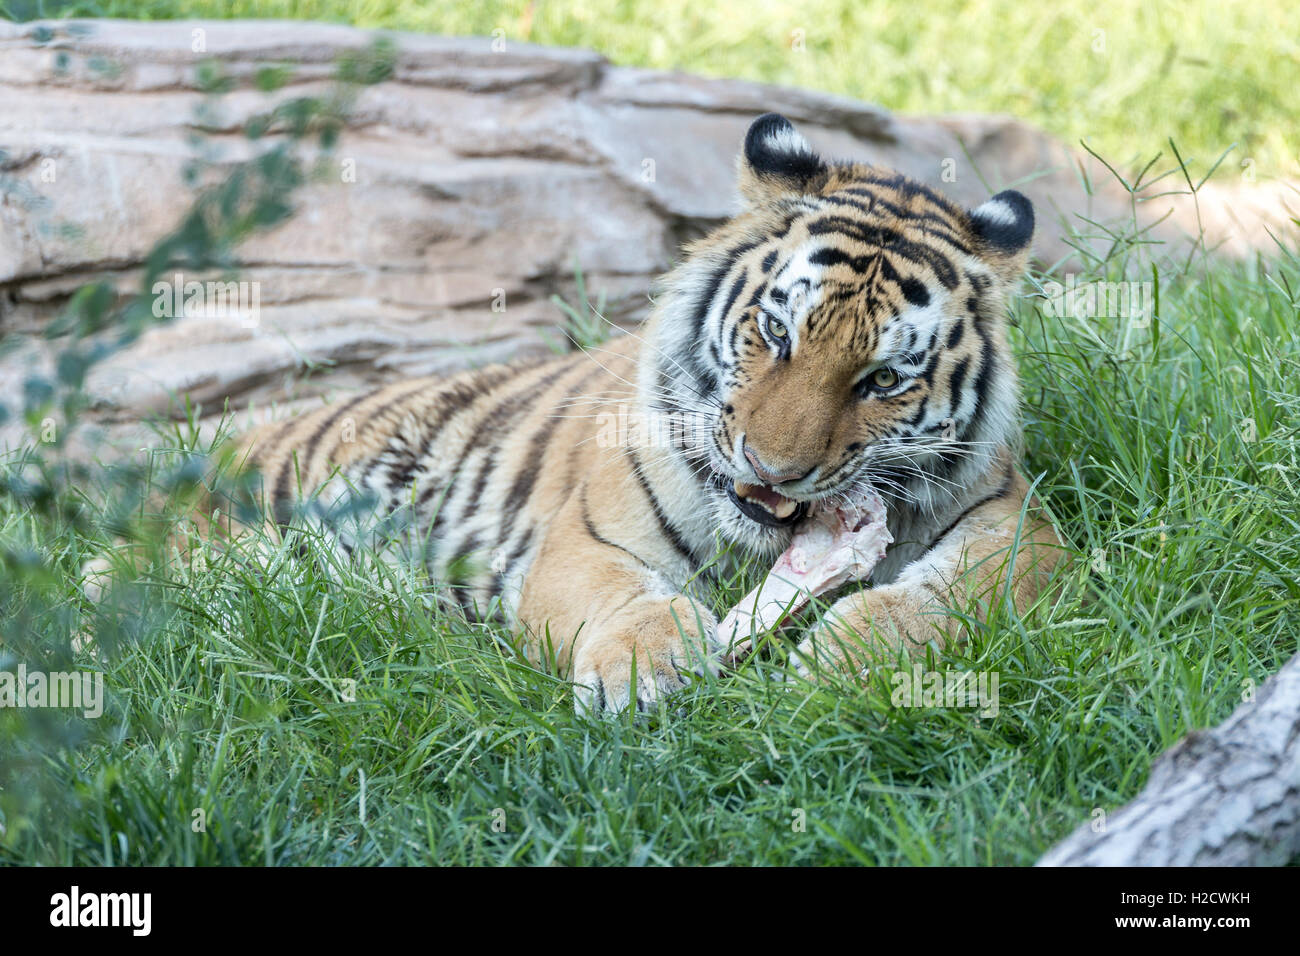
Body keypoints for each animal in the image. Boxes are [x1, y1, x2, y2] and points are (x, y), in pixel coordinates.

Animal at [191, 112, 1065, 714]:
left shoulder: (1019, 526)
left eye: (882, 380)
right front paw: (641, 670)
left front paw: (842, 665)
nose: (773, 470)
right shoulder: (585, 539)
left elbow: (946, 599)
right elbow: (629, 596)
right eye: (777, 332)